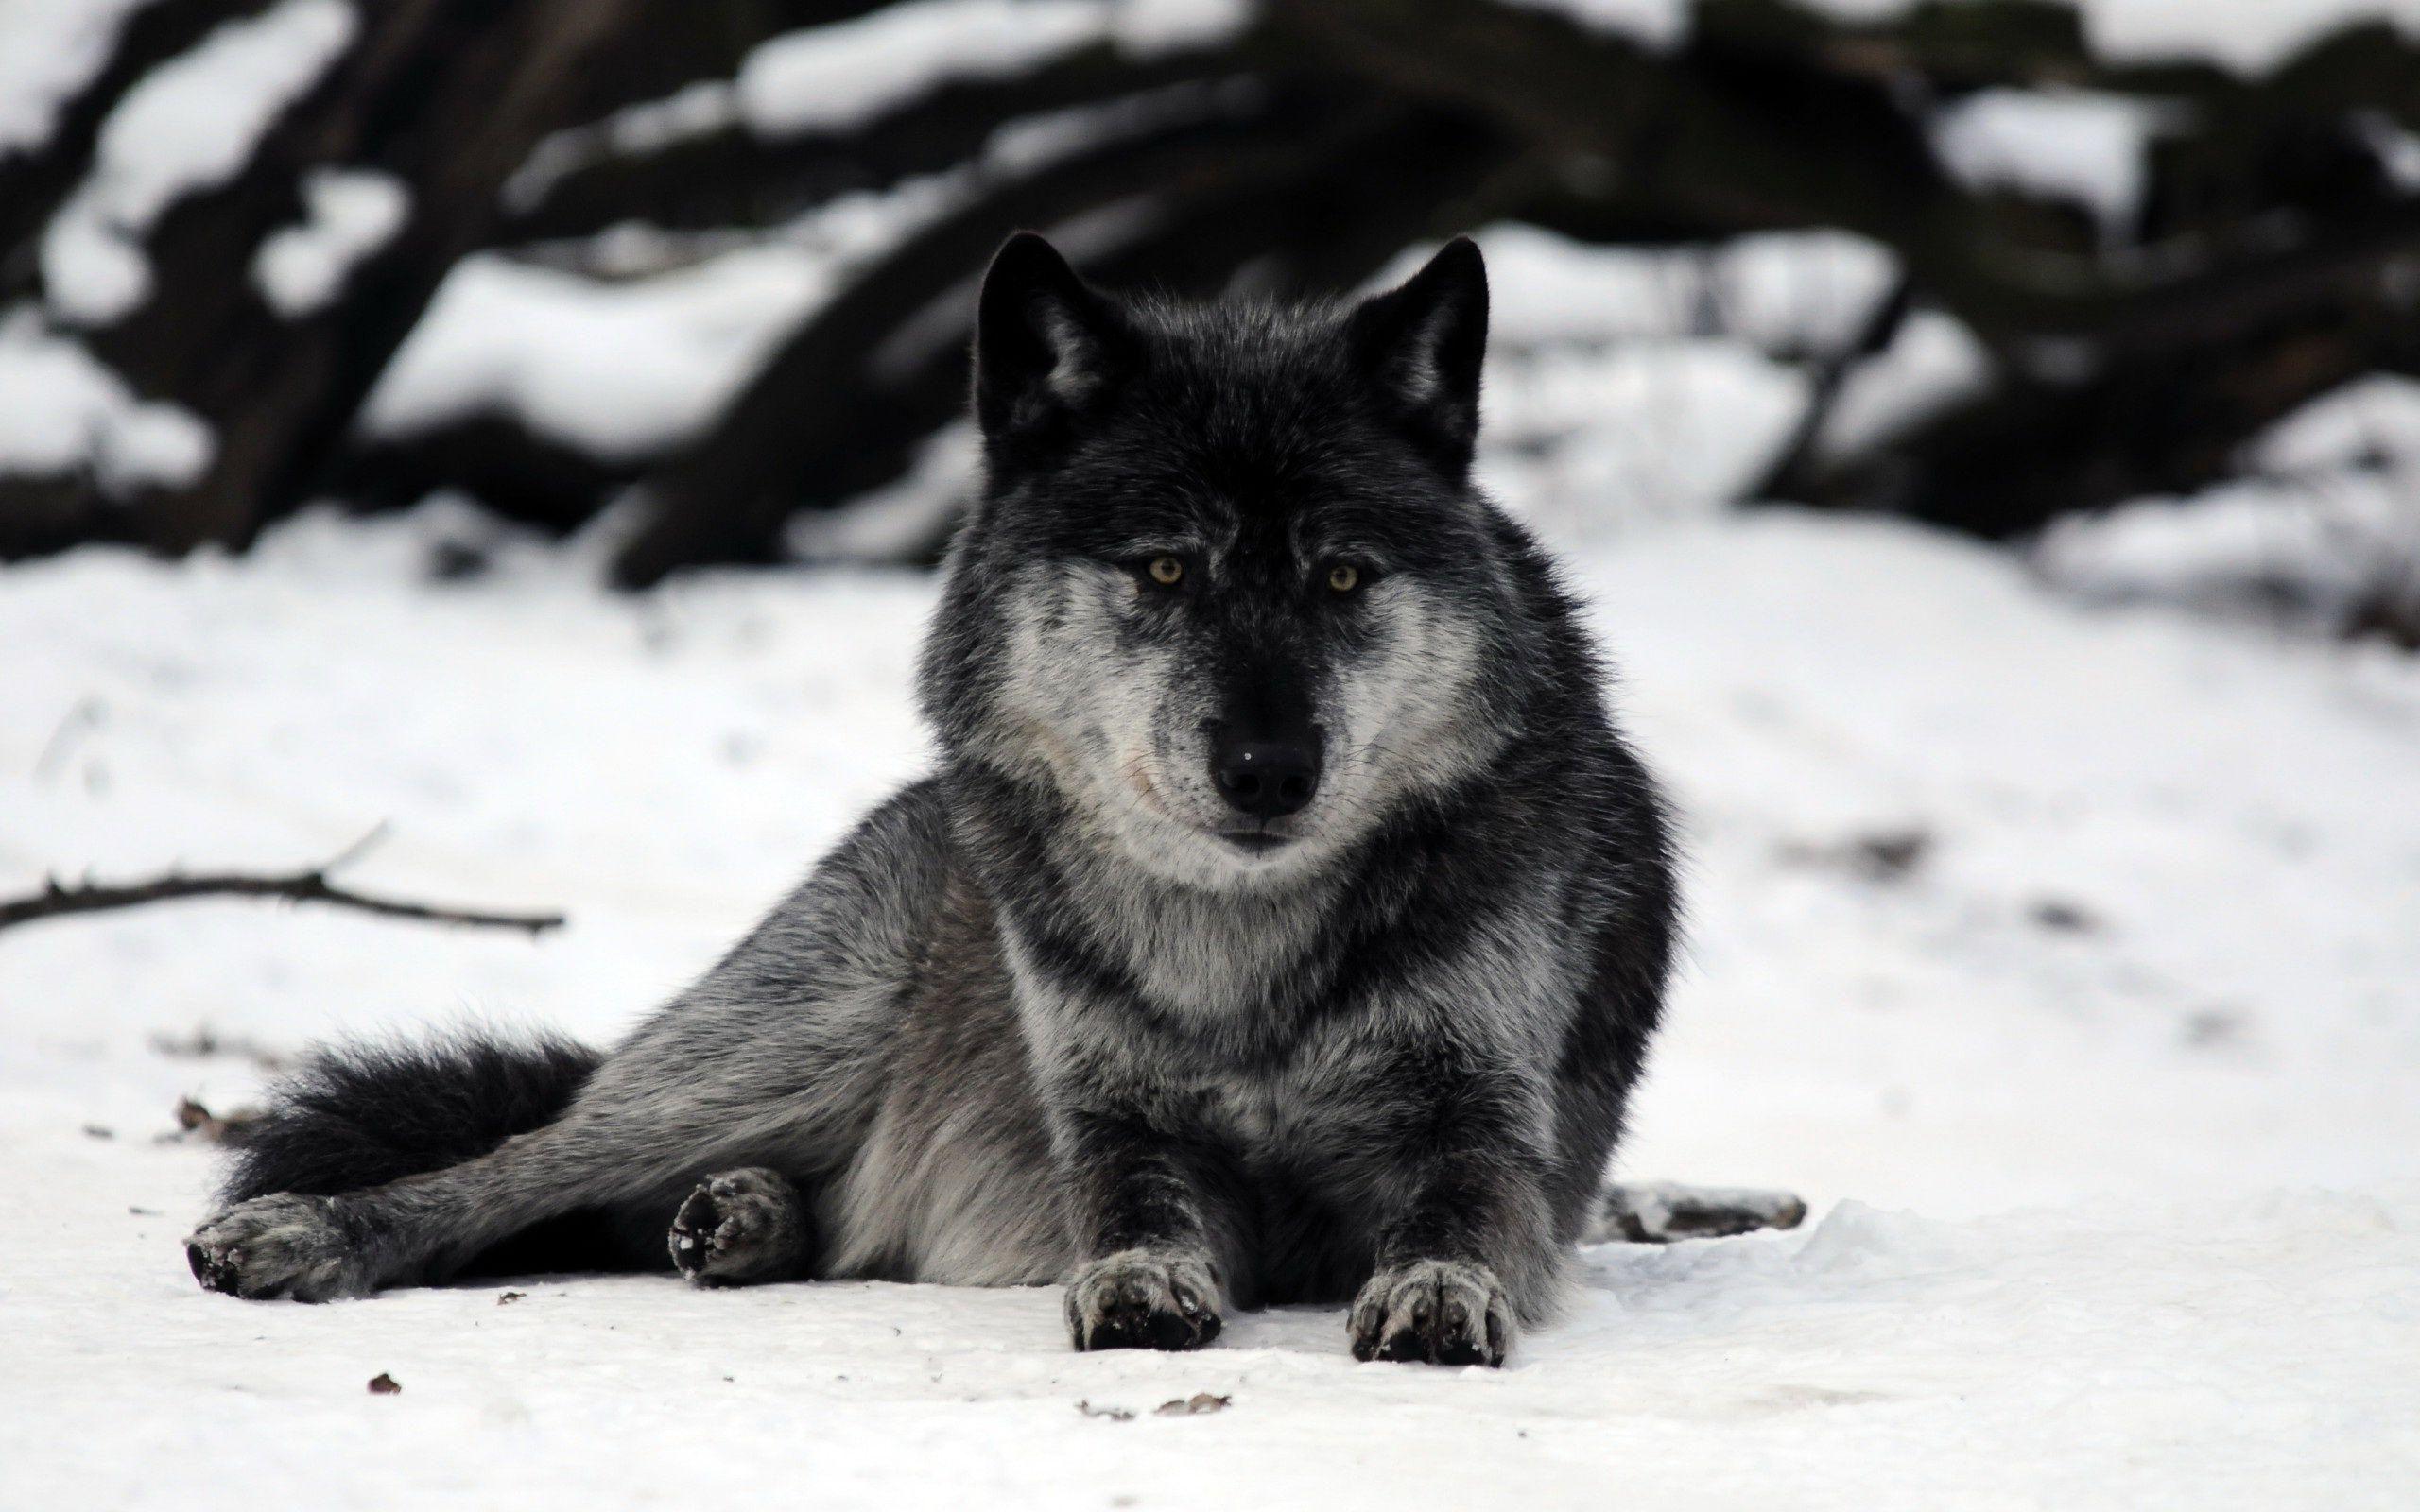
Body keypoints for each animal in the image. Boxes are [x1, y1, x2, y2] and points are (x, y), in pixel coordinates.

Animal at [183, 231, 1677, 1367]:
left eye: (1344, 576)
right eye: (1166, 570)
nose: (1267, 770)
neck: (1233, 959)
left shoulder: (1485, 1126)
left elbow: (1458, 1217)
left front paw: (1436, 1293)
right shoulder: (1113, 1121)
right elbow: (1134, 1207)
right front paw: (1139, 1282)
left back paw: (741, 1220)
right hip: (786, 1036)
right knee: (523, 1163)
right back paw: (310, 1231)